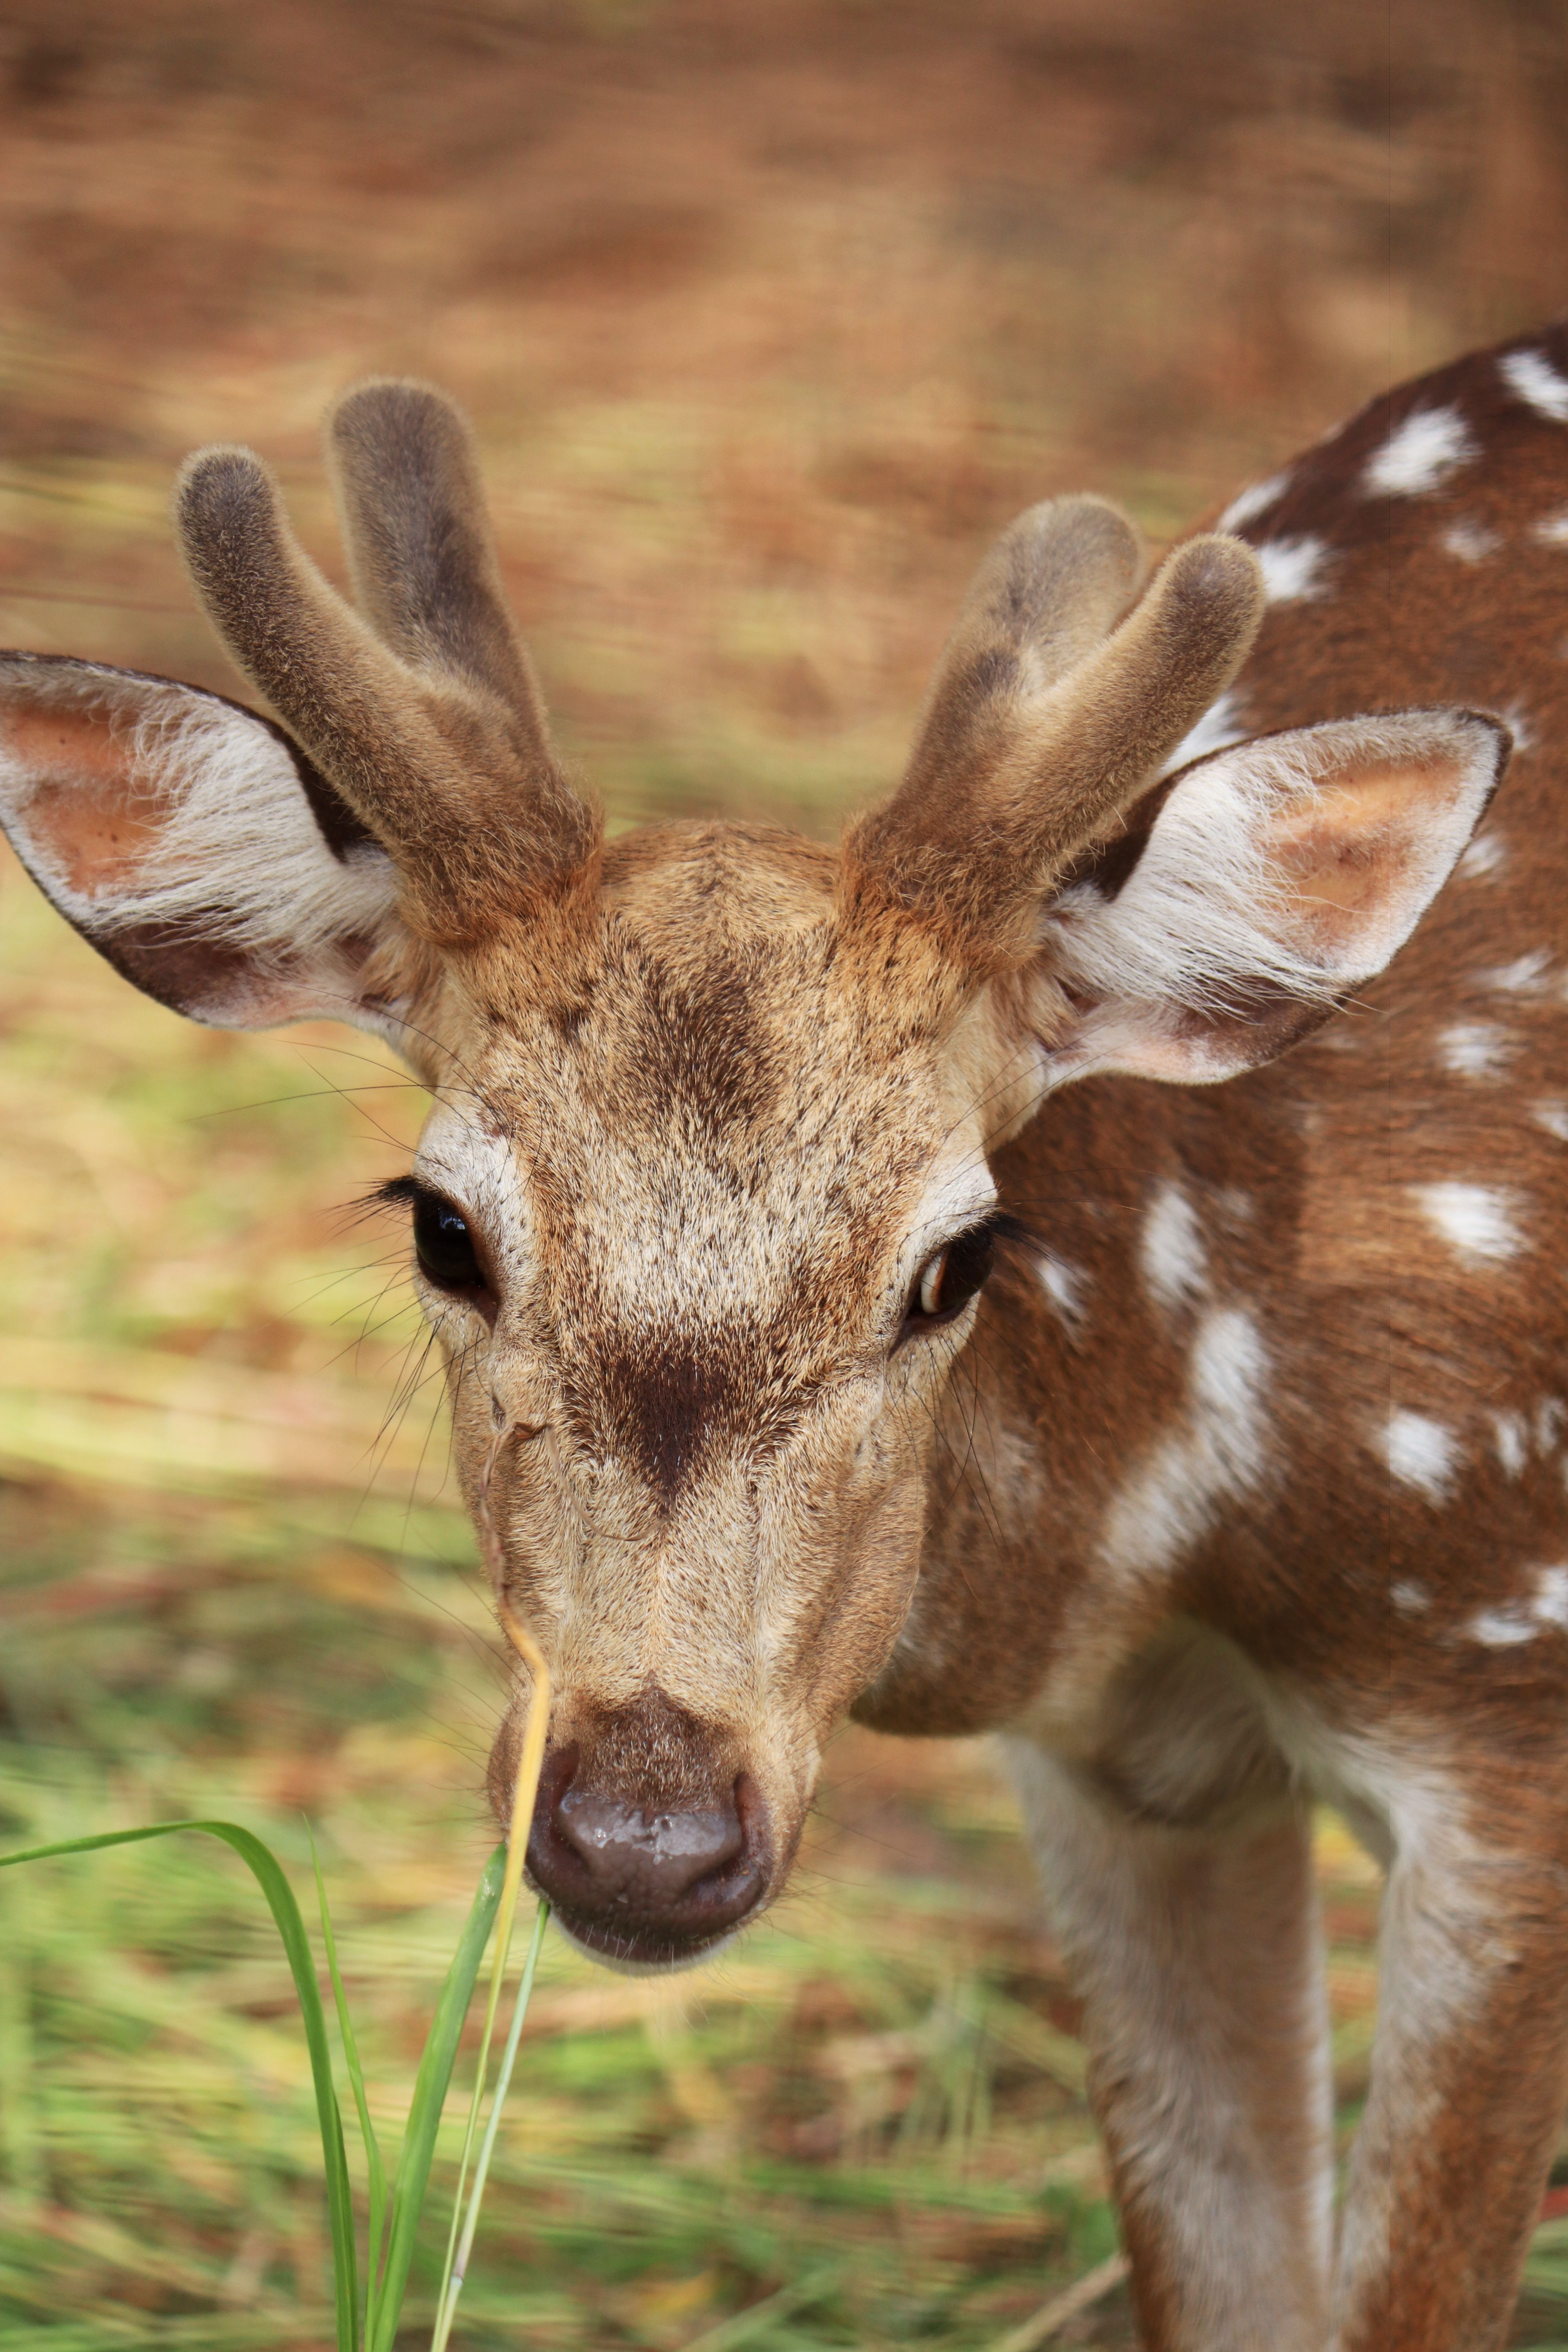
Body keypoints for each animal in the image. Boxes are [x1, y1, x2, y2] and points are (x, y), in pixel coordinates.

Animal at [3, 322, 1568, 2349]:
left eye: (954, 1259)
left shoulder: (1509, 1700)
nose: (645, 1836)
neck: (1175, 1519)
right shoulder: (1124, 1770)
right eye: (443, 1227)